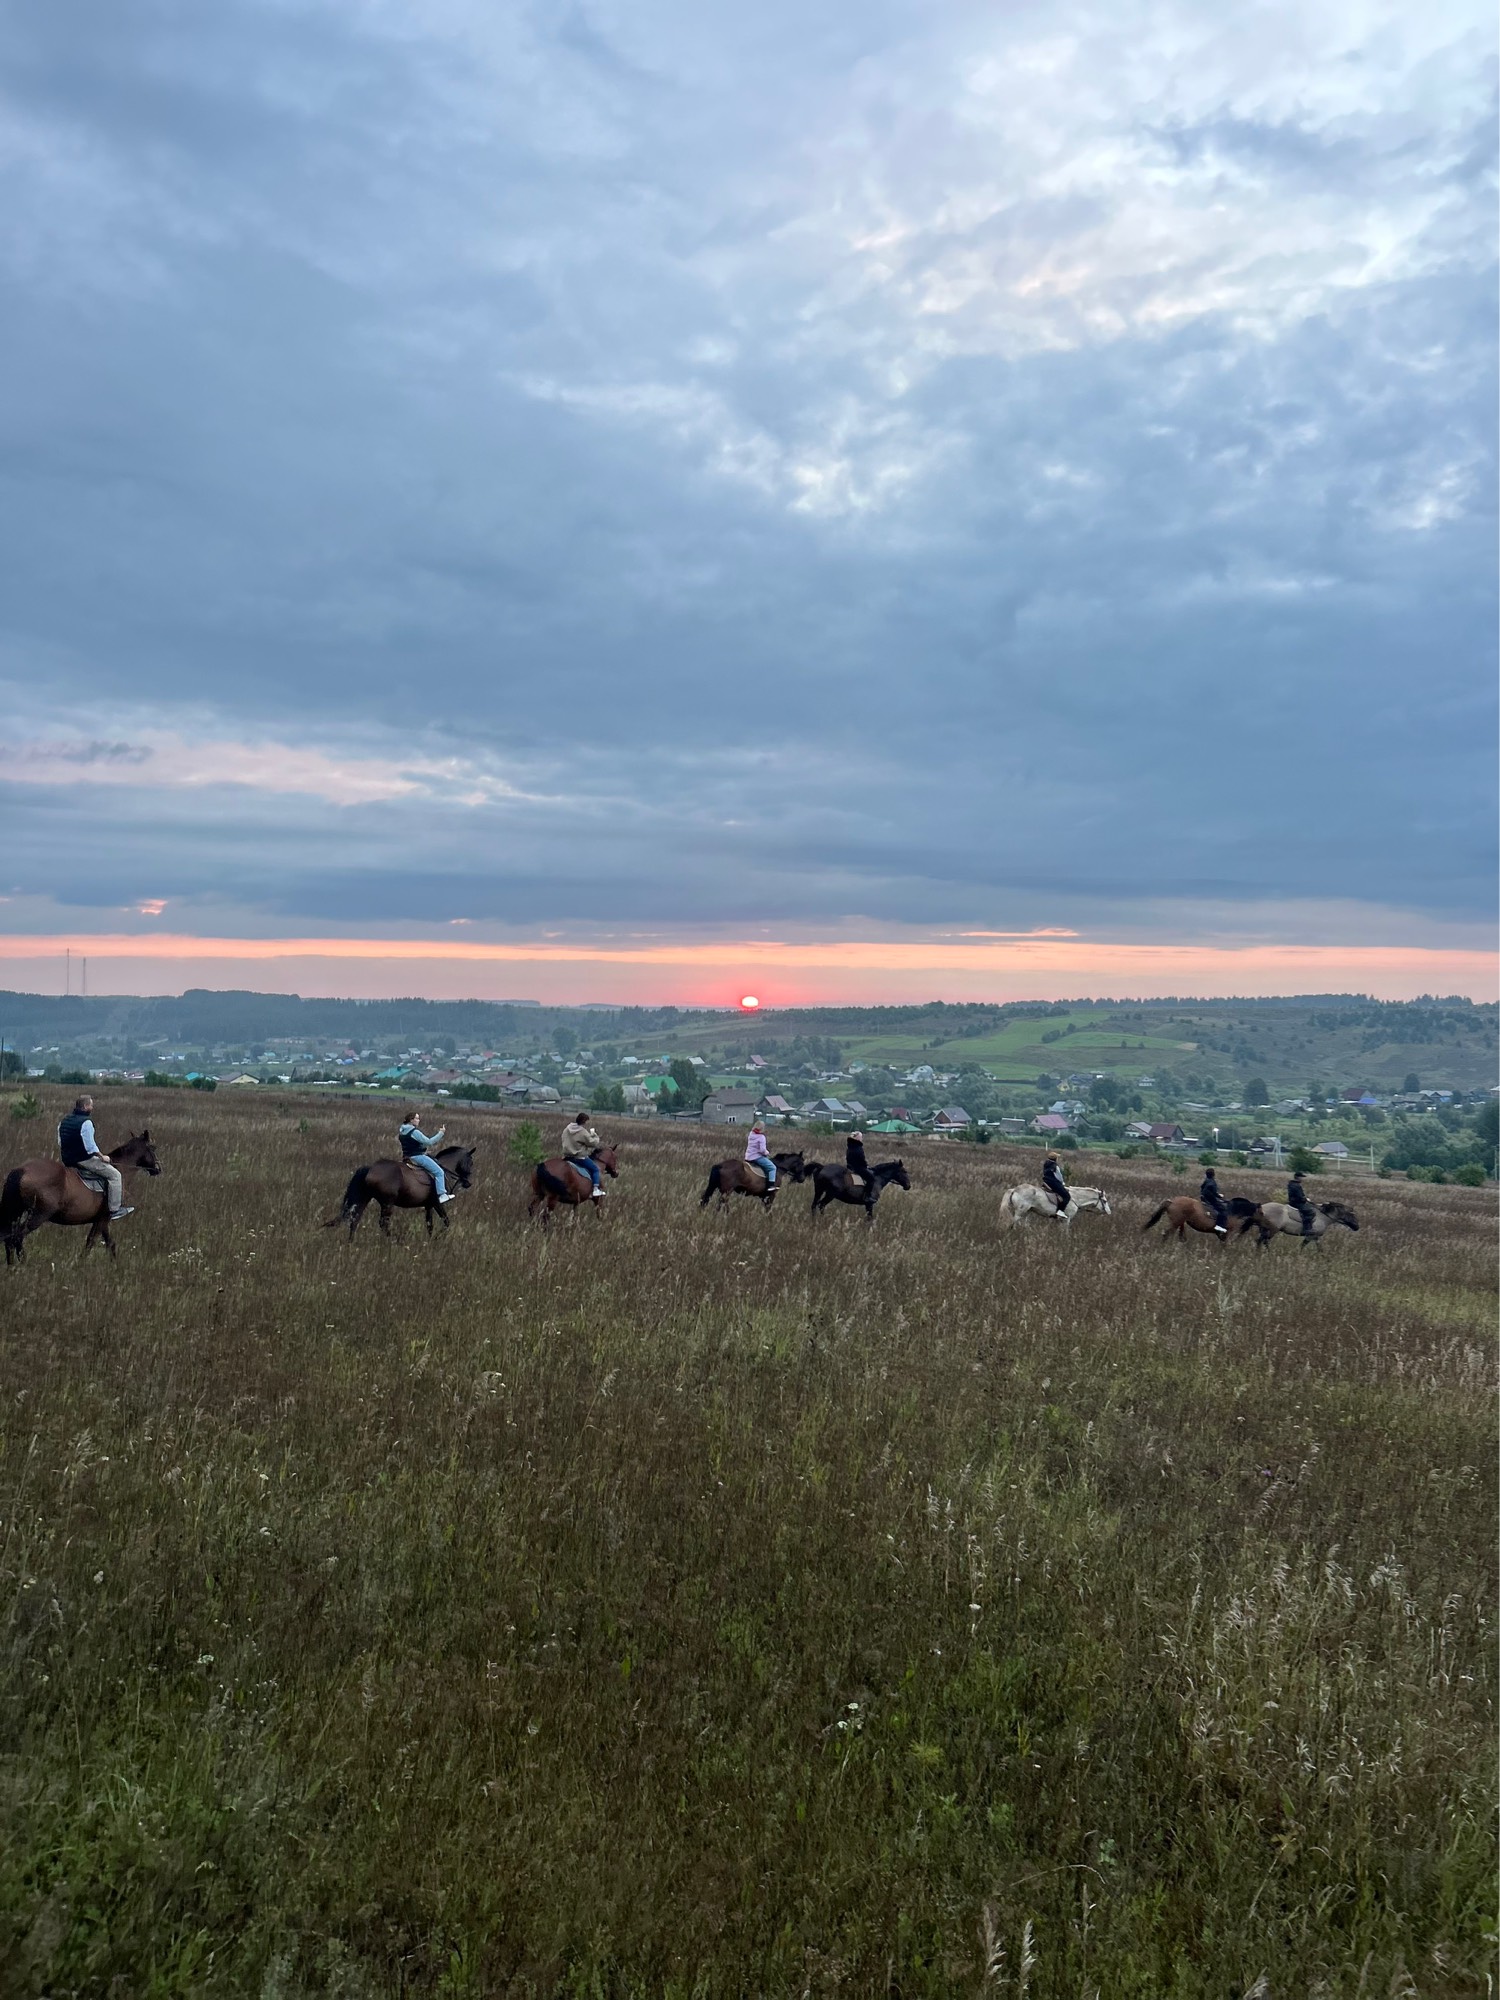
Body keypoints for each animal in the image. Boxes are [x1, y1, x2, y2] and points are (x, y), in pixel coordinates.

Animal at [1, 1128, 162, 1264]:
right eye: (153, 1148)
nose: (158, 1168)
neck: (121, 1169)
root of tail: (21, 1170)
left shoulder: (101, 1219)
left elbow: (109, 1243)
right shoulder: (104, 1217)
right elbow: (91, 1241)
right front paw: (81, 1264)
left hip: (15, 1213)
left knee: (8, 1238)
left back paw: (12, 1267)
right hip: (39, 1215)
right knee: (17, 1237)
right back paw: (24, 1264)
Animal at [328, 1144, 476, 1232]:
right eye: (471, 1162)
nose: (468, 1183)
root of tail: (370, 1168)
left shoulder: (428, 1205)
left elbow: (430, 1225)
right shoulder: (437, 1203)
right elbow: (446, 1222)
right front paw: (439, 1236)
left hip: (365, 1198)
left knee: (355, 1219)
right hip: (387, 1203)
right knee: (383, 1224)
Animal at [1232, 1192, 1360, 1240]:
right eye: (1352, 1215)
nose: (1357, 1227)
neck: (1323, 1217)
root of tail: (1261, 1208)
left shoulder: (1314, 1237)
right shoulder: (1312, 1236)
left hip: (1263, 1228)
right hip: (1271, 1230)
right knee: (1262, 1240)